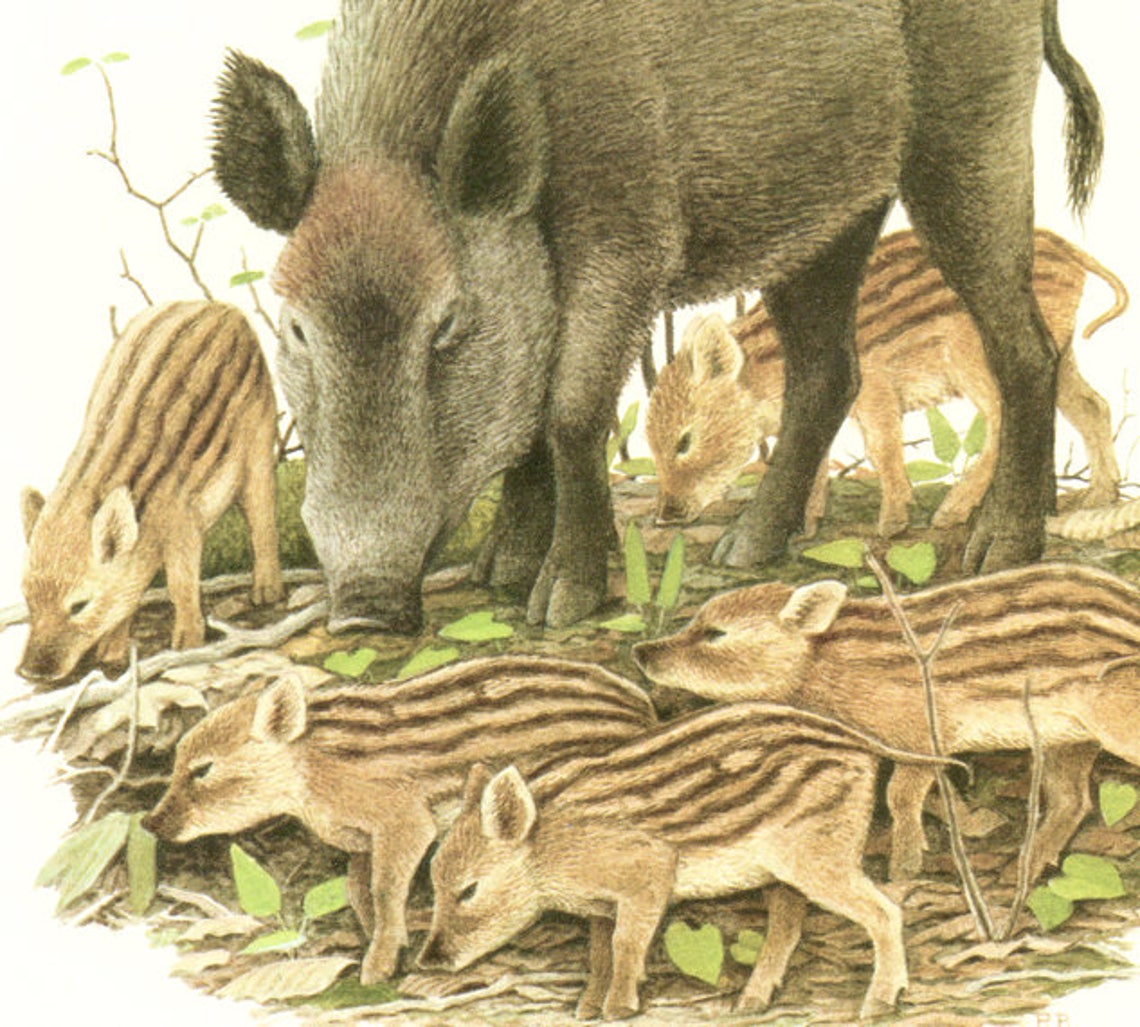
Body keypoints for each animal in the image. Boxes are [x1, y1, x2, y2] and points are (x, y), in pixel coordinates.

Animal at [18, 301, 283, 686]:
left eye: (79, 605)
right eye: (27, 599)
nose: (28, 672)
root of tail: (225, 308)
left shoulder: (184, 524)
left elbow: (181, 584)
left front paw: (186, 643)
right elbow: (131, 592)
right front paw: (112, 651)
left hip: (260, 439)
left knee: (262, 516)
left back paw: (267, 592)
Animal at [143, 655, 657, 983]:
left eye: (203, 769)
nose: (148, 823)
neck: (312, 773)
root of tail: (647, 709)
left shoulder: (405, 822)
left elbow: (385, 888)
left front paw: (376, 970)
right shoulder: (361, 839)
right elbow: (358, 889)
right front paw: (389, 942)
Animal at [419, 702, 961, 1020]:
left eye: (468, 889)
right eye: (435, 882)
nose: (427, 961)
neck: (550, 849)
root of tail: (857, 741)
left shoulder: (648, 872)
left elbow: (625, 943)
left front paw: (619, 1009)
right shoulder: (601, 904)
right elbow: (597, 953)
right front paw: (586, 1009)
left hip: (817, 854)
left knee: (885, 911)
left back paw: (878, 1003)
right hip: (784, 869)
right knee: (788, 925)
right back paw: (749, 1002)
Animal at [633, 563, 1140, 881]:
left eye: (715, 633)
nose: (640, 652)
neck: (829, 668)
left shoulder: (917, 731)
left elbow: (901, 796)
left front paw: (903, 869)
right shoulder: (924, 745)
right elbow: (941, 793)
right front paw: (974, 826)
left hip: (1116, 718)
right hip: (1068, 736)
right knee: (1073, 800)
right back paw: (1026, 868)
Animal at [647, 229, 1128, 537]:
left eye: (684, 441)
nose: (665, 515)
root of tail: (1069, 251)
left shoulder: (874, 386)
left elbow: (881, 448)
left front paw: (891, 526)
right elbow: (817, 457)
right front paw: (807, 528)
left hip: (971, 357)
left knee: (1002, 418)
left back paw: (950, 515)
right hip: (1062, 352)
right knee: (1092, 405)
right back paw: (1099, 497)